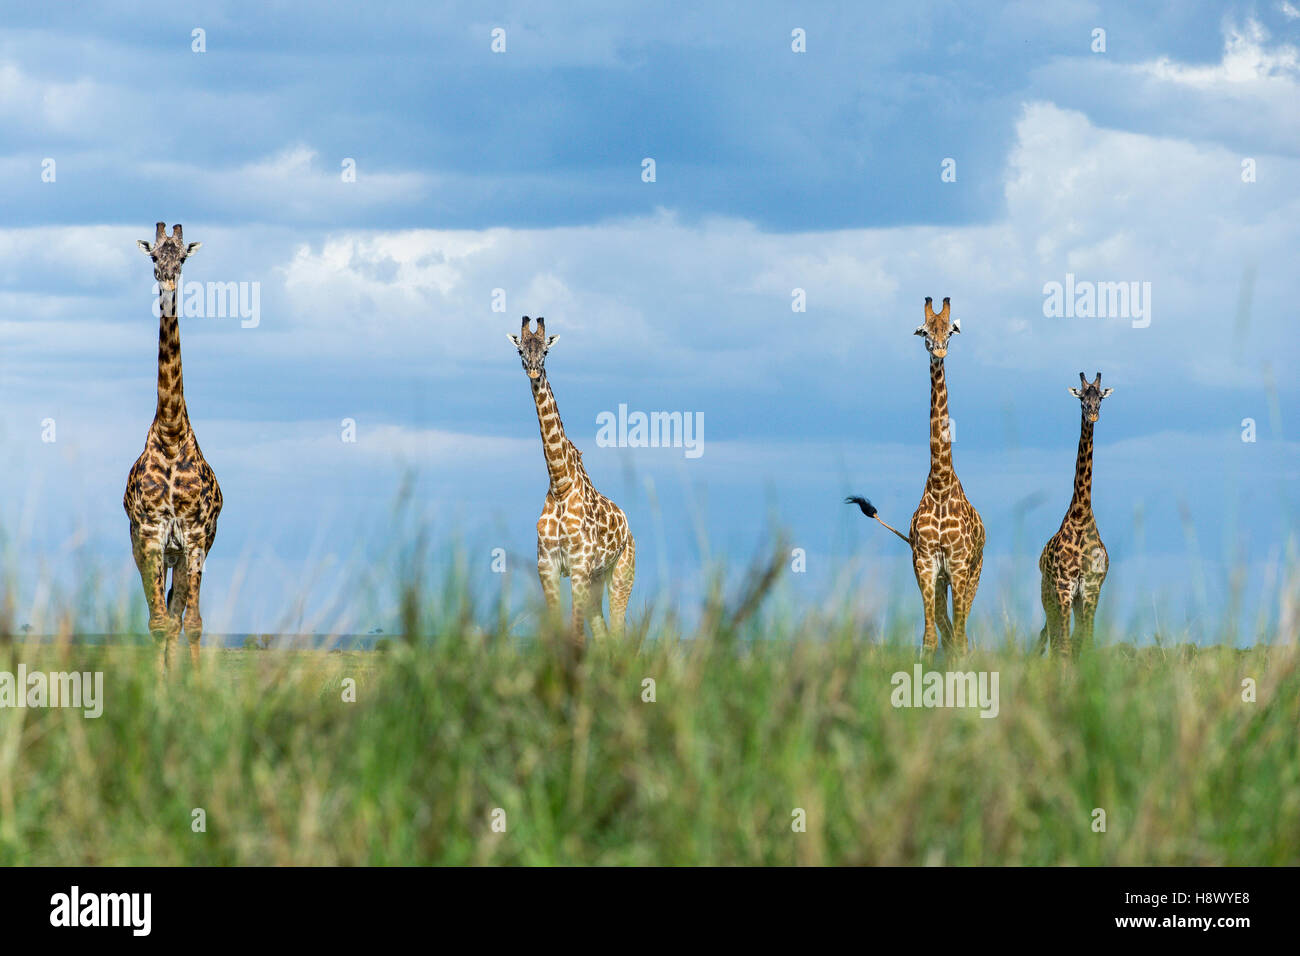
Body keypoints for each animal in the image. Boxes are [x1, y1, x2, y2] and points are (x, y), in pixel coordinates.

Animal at [507, 316, 634, 646]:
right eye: (521, 351)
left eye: (546, 351)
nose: (534, 370)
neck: (560, 484)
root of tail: (628, 526)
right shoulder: (547, 566)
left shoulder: (579, 565)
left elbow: (576, 635)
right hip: (597, 579)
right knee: (603, 634)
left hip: (621, 572)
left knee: (619, 631)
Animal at [847, 297, 985, 652]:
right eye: (924, 331)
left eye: (950, 331)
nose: (939, 351)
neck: (940, 482)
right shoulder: (924, 565)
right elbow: (930, 638)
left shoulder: (959, 566)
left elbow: (958, 637)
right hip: (939, 579)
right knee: (947, 630)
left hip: (973, 572)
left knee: (961, 632)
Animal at [1037, 372, 1113, 656]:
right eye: (1081, 399)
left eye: (1100, 398)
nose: (1093, 414)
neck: (1081, 514)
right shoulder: (1064, 587)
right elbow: (1064, 644)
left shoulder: (1090, 588)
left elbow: (1085, 641)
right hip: (1047, 593)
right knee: (1053, 636)